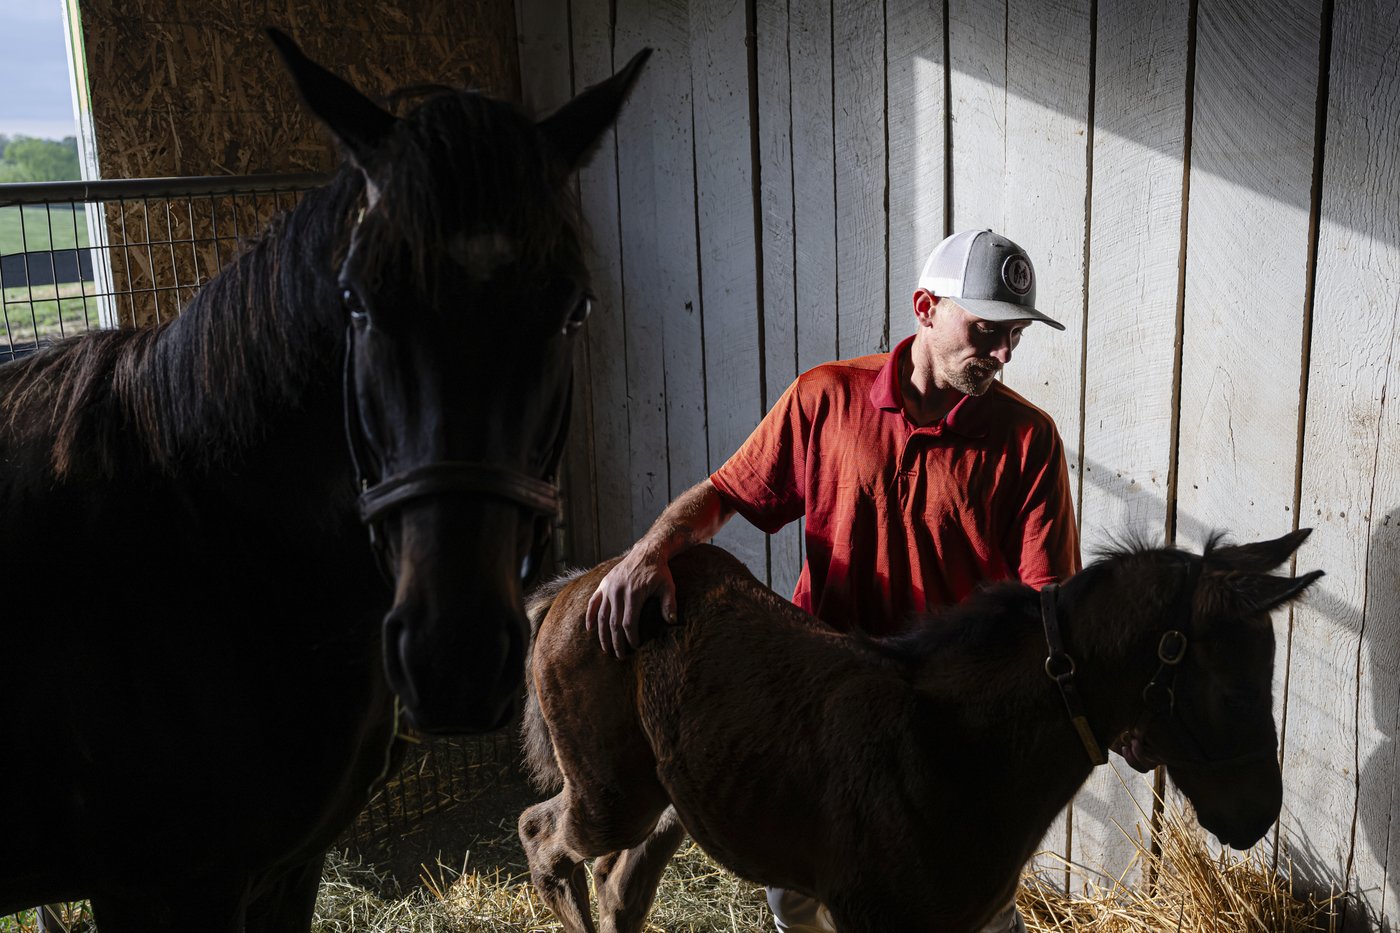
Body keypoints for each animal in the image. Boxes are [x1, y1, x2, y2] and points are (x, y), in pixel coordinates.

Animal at [0, 31, 648, 933]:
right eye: (356, 300)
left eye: (573, 307)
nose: (454, 658)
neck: (210, 541)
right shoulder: (161, 888)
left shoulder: (288, 866)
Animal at [520, 530, 1323, 933]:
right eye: (1236, 689)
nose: (1260, 815)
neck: (956, 747)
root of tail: (574, 586)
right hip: (611, 796)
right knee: (543, 835)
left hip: (672, 799)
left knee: (621, 886)